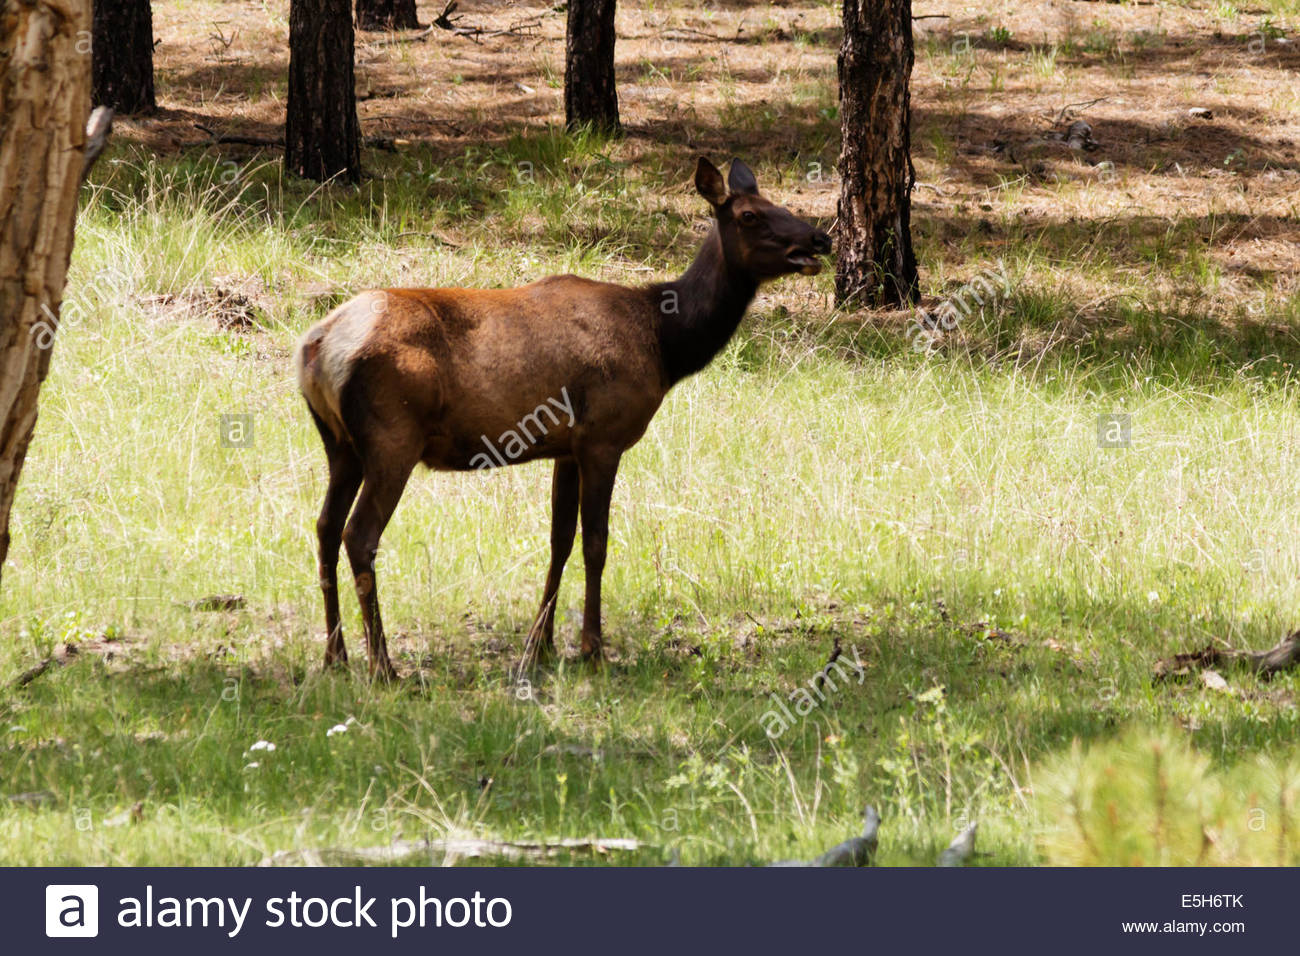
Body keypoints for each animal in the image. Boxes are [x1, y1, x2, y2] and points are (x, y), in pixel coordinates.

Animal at [295, 157, 832, 680]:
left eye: (780, 204)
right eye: (750, 215)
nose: (819, 239)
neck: (665, 343)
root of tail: (316, 347)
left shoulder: (564, 448)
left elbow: (559, 541)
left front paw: (540, 646)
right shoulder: (603, 438)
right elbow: (596, 543)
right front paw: (592, 648)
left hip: (340, 444)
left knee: (324, 527)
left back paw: (335, 656)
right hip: (393, 438)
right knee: (359, 535)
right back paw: (383, 666)